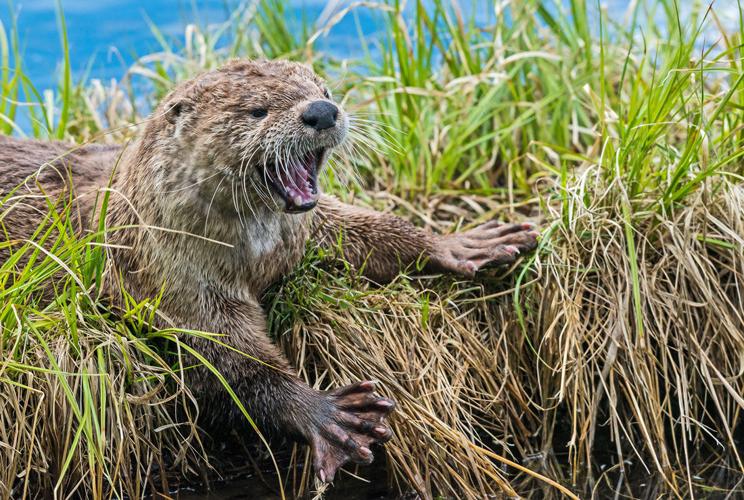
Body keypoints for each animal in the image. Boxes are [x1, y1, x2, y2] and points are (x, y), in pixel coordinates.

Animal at [0, 59, 538, 484]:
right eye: (257, 111)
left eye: (323, 90)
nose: (322, 111)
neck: (250, 254)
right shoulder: (174, 283)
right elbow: (233, 363)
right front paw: (323, 414)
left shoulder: (309, 230)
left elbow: (372, 229)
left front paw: (456, 244)